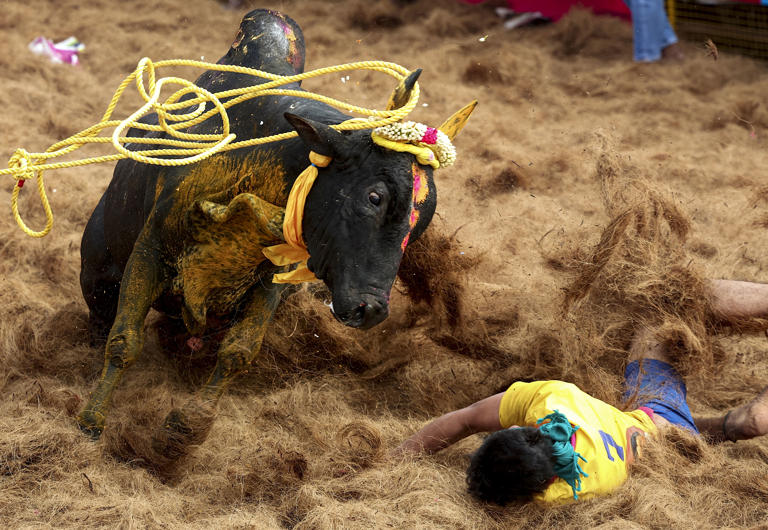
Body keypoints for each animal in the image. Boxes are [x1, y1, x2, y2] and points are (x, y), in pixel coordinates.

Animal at [77, 9, 475, 459]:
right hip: (97, 278)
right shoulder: (151, 250)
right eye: (374, 197)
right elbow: (123, 341)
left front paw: (184, 429)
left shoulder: (269, 281)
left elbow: (238, 351)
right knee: (102, 320)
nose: (370, 308)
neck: (261, 156)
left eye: (422, 221)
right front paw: (91, 421)